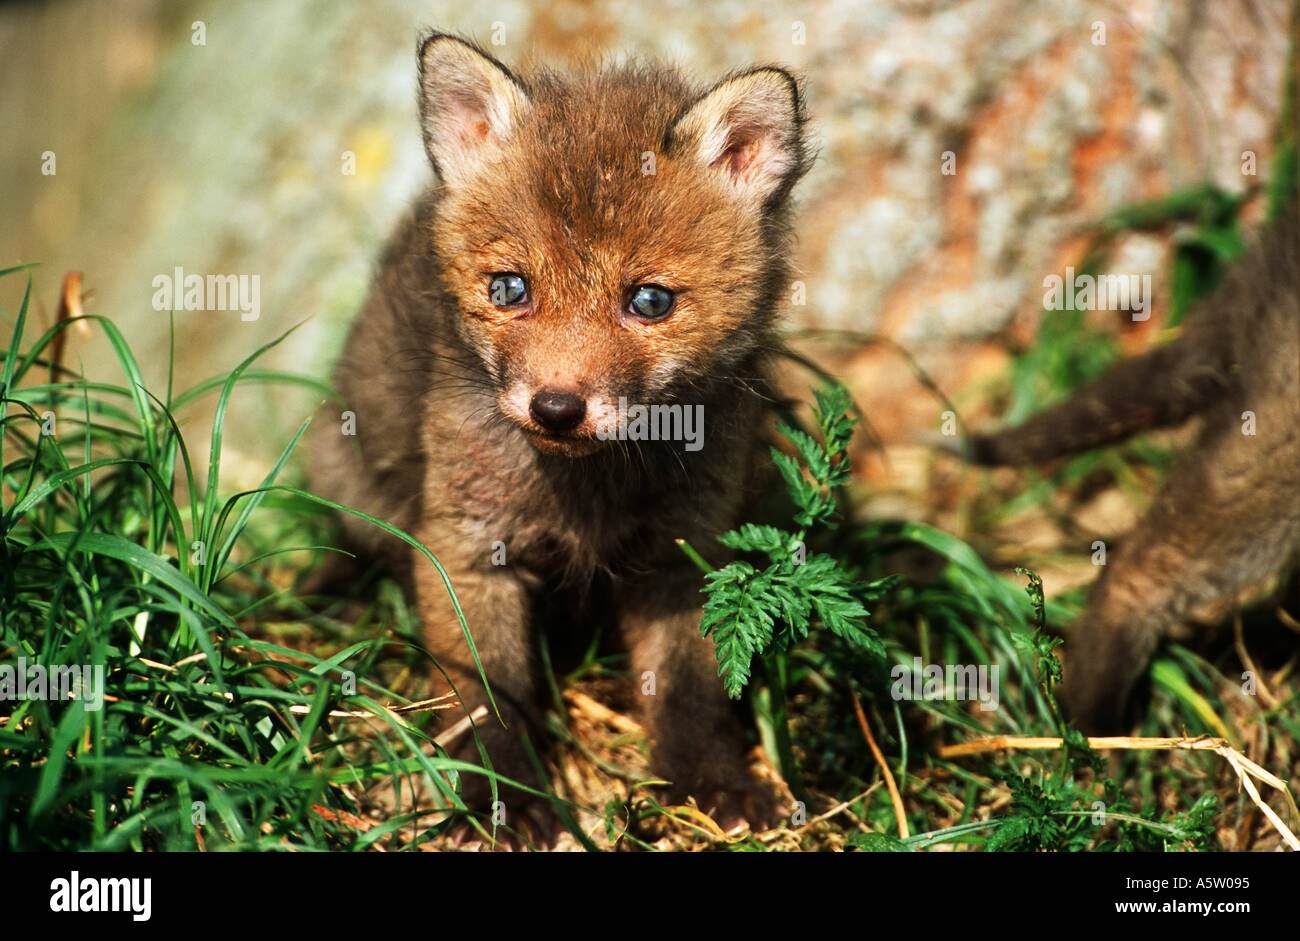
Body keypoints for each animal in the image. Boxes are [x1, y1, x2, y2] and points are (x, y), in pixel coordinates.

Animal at [312, 32, 810, 840]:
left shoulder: (683, 551)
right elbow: (488, 696)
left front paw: (713, 782)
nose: (555, 408)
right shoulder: (466, 547)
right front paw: (502, 798)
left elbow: (689, 688)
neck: (587, 491)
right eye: (509, 289)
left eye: (650, 301)